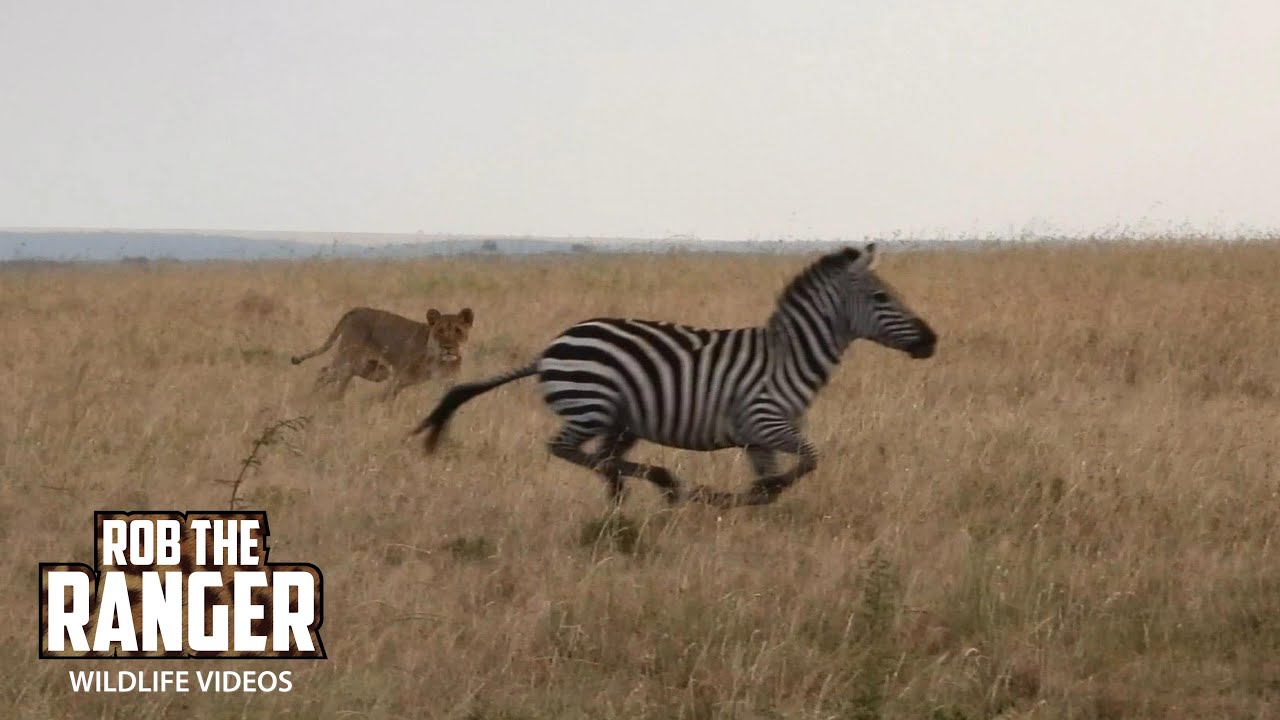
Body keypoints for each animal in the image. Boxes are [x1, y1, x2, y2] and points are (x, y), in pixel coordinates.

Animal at [411, 243, 937, 508]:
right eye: (882, 298)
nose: (932, 341)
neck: (788, 357)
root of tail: (547, 350)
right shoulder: (764, 421)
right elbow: (809, 460)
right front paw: (727, 496)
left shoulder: (758, 439)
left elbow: (776, 478)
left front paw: (745, 500)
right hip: (592, 406)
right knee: (566, 450)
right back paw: (661, 484)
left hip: (620, 421)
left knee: (604, 459)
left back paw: (624, 502)